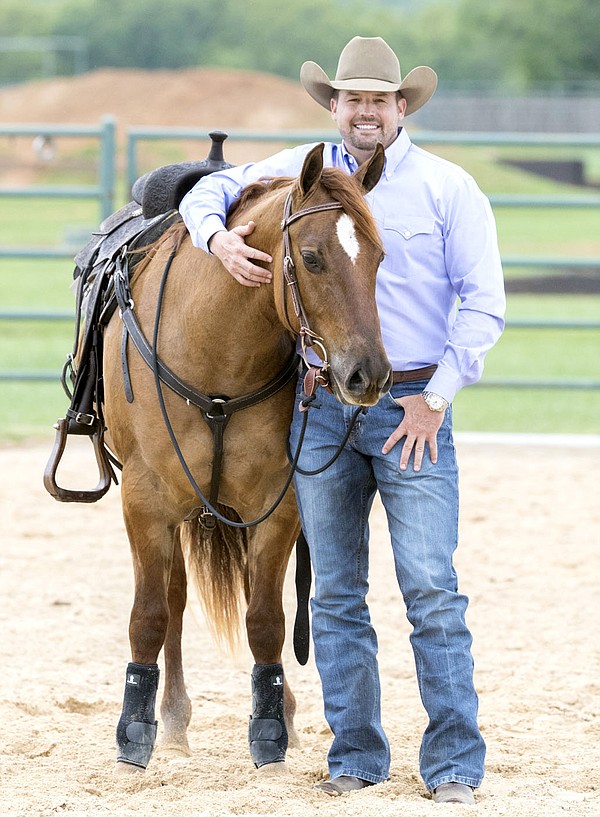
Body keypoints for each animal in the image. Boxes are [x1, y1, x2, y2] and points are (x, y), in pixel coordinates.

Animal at [100, 142, 392, 774]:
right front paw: (134, 736)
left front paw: (270, 734)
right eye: (312, 258)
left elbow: (266, 620)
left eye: (380, 257)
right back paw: (173, 720)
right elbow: (149, 615)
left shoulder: (276, 506)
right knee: (174, 598)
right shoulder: (145, 502)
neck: (217, 352)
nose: (369, 375)